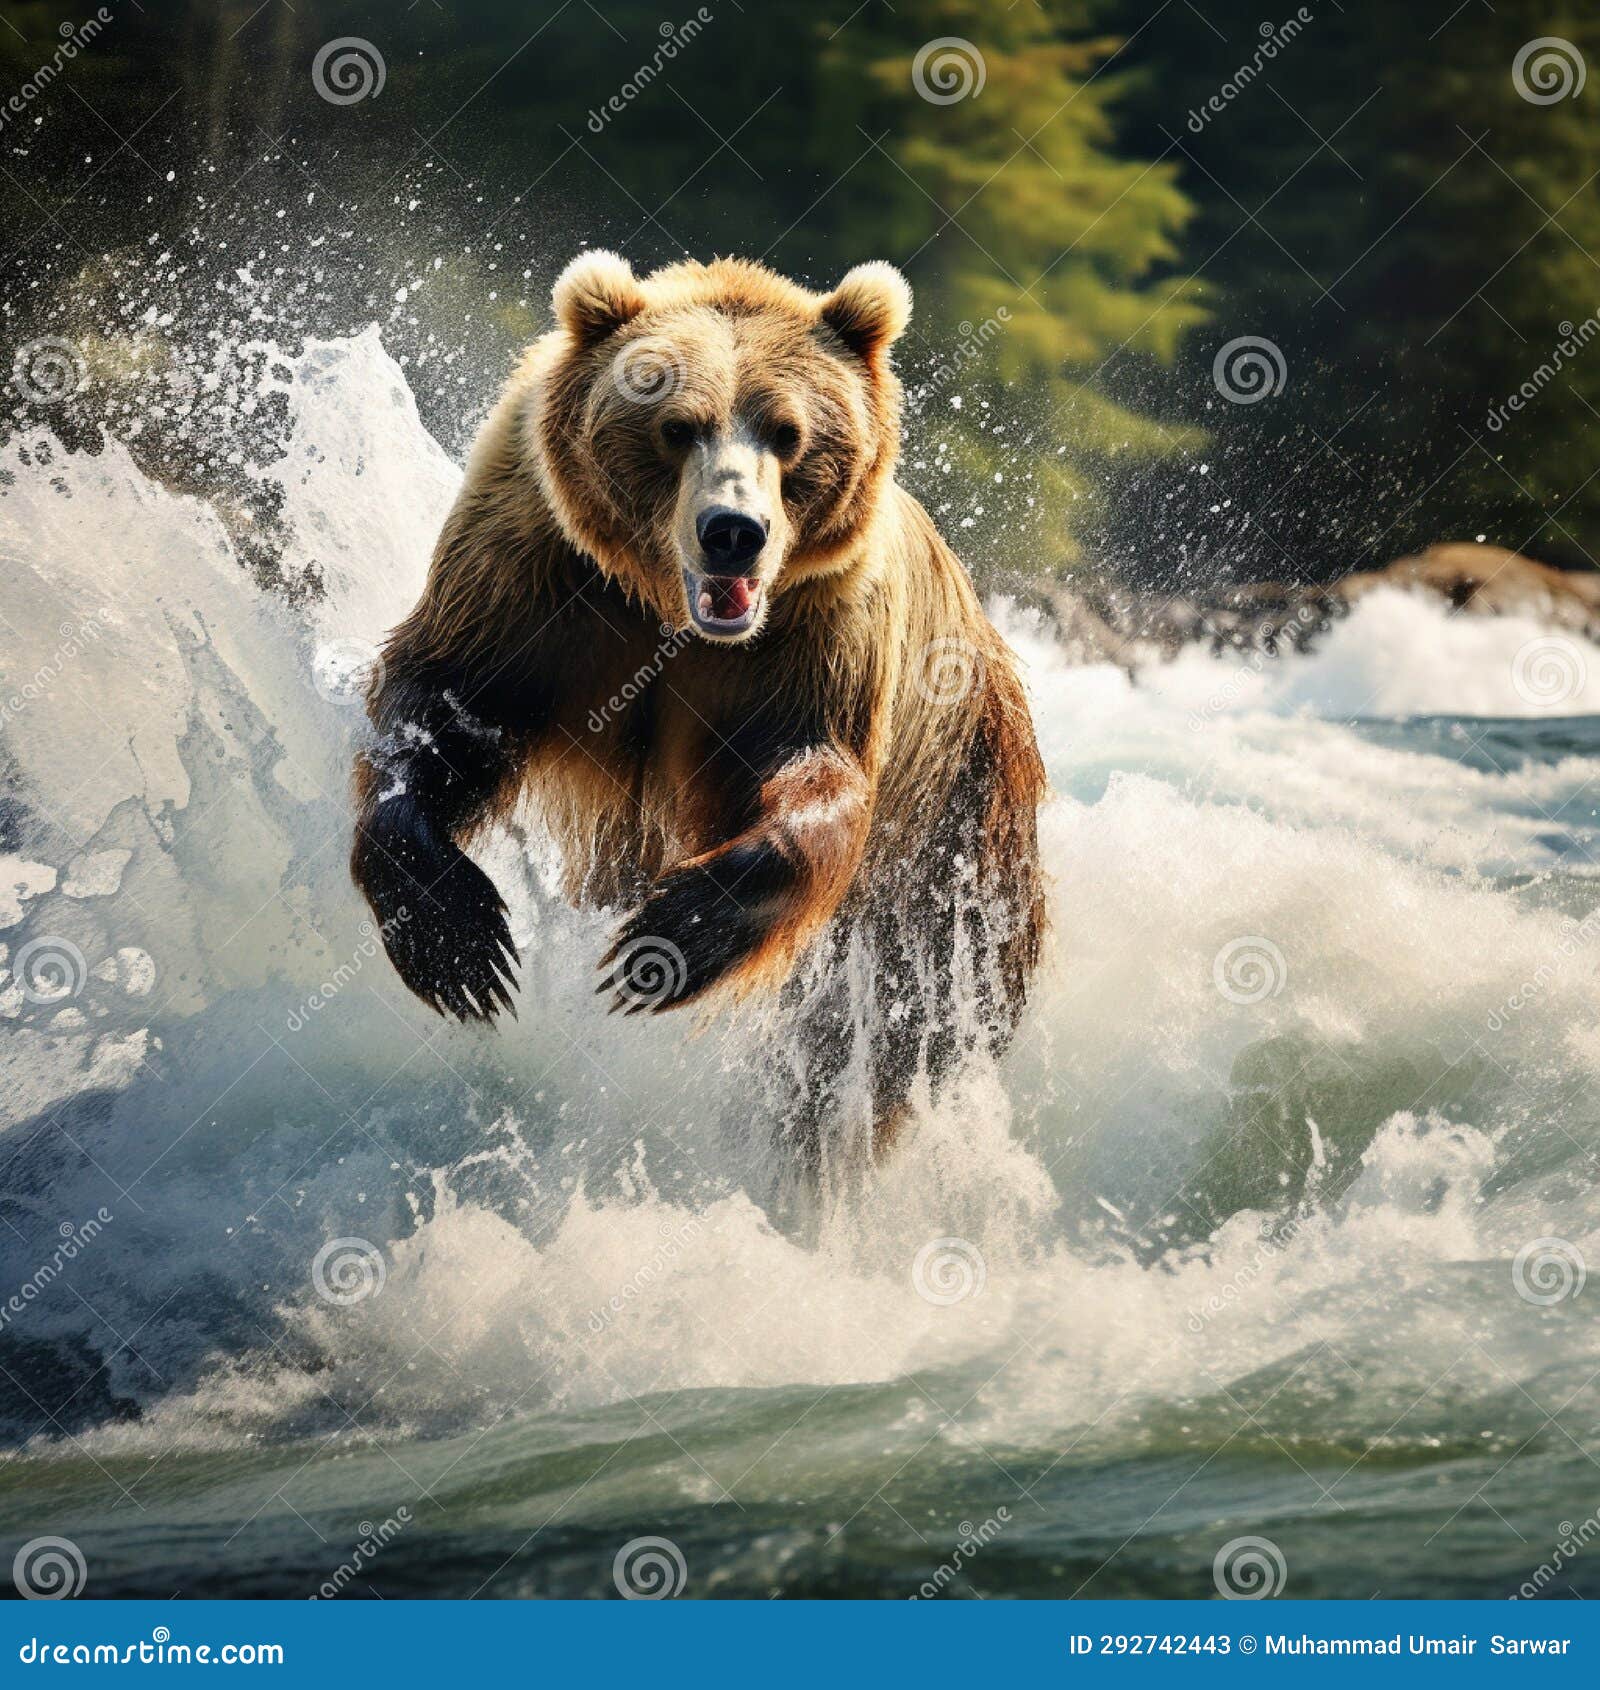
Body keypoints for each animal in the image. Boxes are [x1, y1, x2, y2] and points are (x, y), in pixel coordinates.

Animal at [350, 251, 1046, 1161]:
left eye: (788, 432)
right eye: (677, 426)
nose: (733, 531)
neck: (670, 613)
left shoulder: (819, 630)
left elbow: (815, 779)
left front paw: (668, 938)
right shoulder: (534, 573)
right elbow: (447, 707)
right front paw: (458, 939)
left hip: (952, 847)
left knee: (885, 1038)